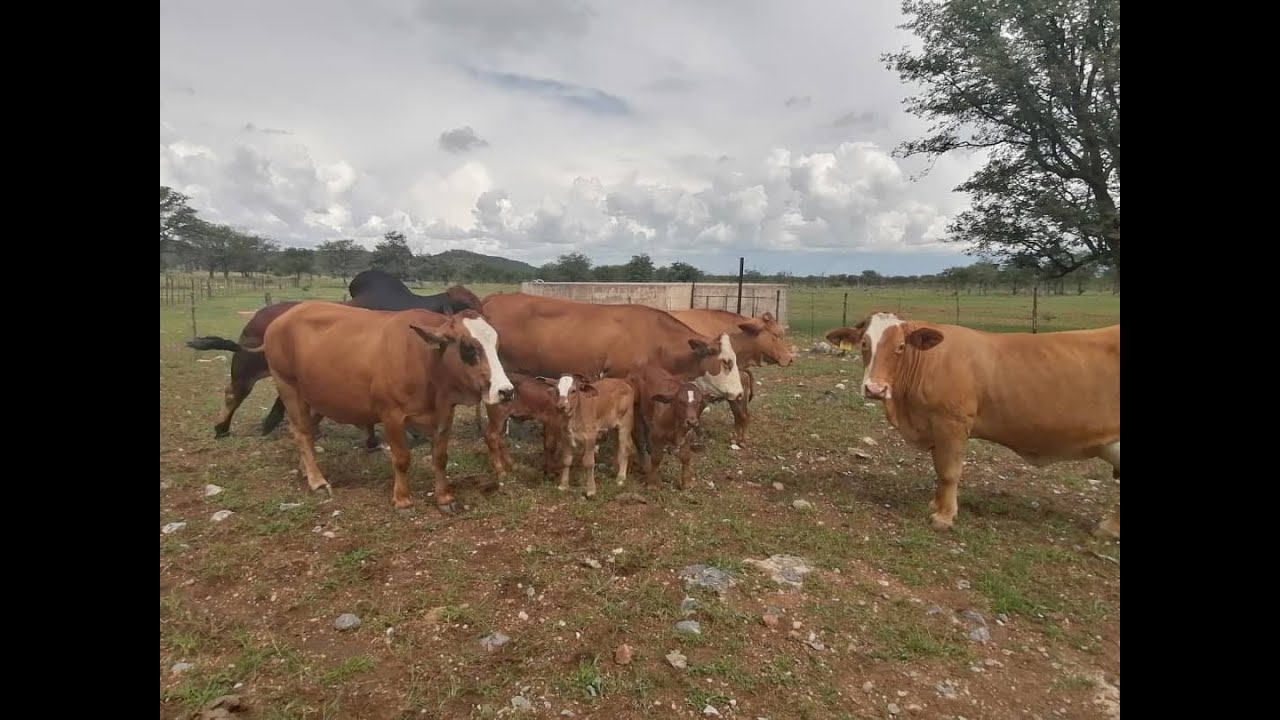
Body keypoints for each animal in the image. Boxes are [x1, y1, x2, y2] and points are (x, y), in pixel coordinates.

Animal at [221, 302, 514, 513]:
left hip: (314, 397)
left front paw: (444, 498)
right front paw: (403, 500)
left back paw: (306, 470)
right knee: (302, 433)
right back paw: (316, 481)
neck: (424, 359)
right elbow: (402, 459)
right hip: (288, 386)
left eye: (497, 345)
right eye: (468, 348)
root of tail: (279, 320)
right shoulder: (391, 415)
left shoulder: (444, 412)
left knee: (302, 432)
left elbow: (440, 457)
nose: (506, 391)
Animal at [830, 313, 1120, 539]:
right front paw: (936, 504)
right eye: (864, 344)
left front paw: (944, 516)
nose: (875, 389)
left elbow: (949, 472)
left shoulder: (952, 423)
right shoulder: (935, 426)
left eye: (900, 346)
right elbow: (939, 469)